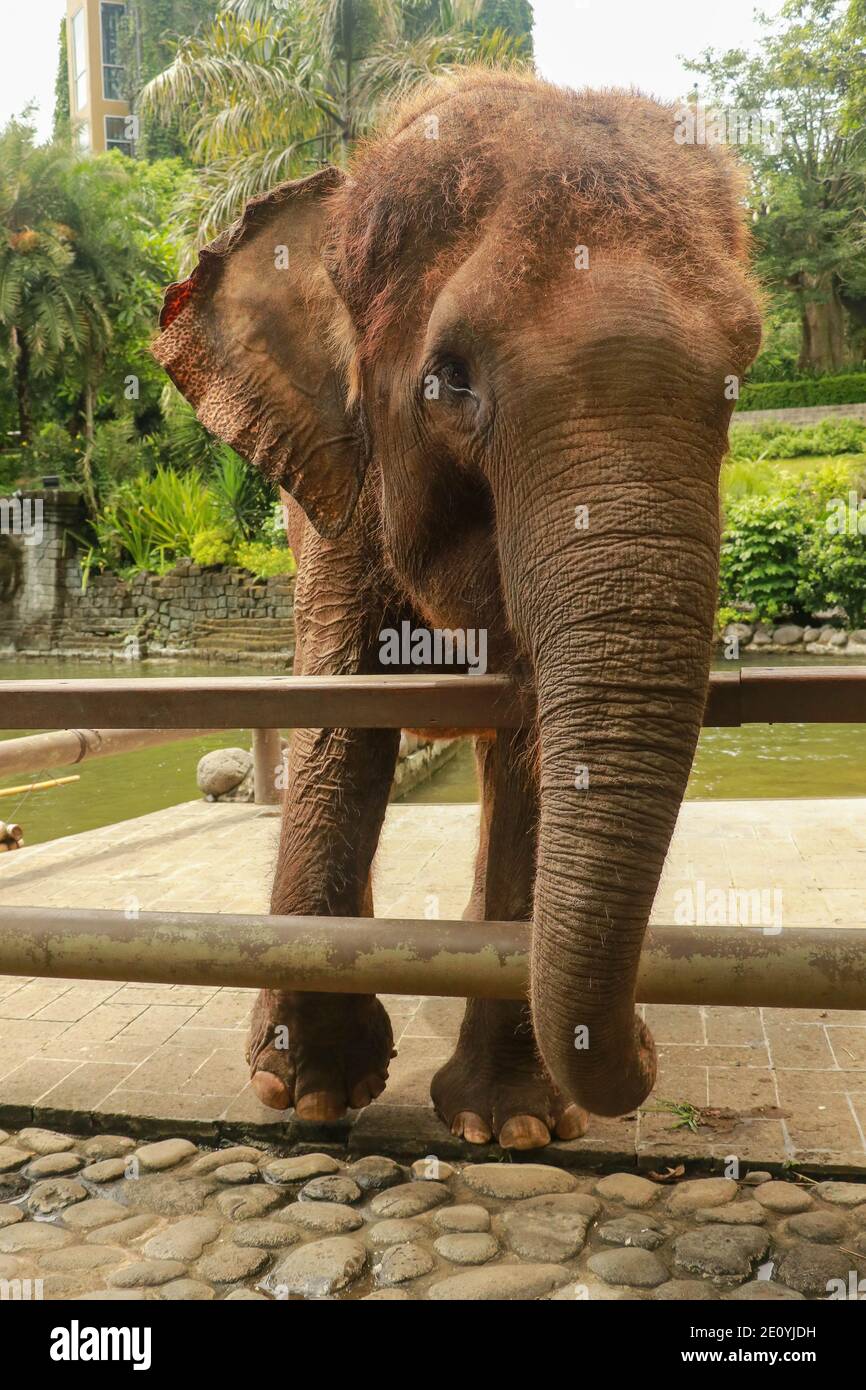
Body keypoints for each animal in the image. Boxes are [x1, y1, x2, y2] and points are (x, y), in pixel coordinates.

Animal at [154, 70, 761, 1150]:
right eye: (450, 378)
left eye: (745, 366)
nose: (647, 1047)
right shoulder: (335, 489)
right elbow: (343, 716)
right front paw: (308, 1092)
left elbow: (525, 746)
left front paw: (515, 1125)